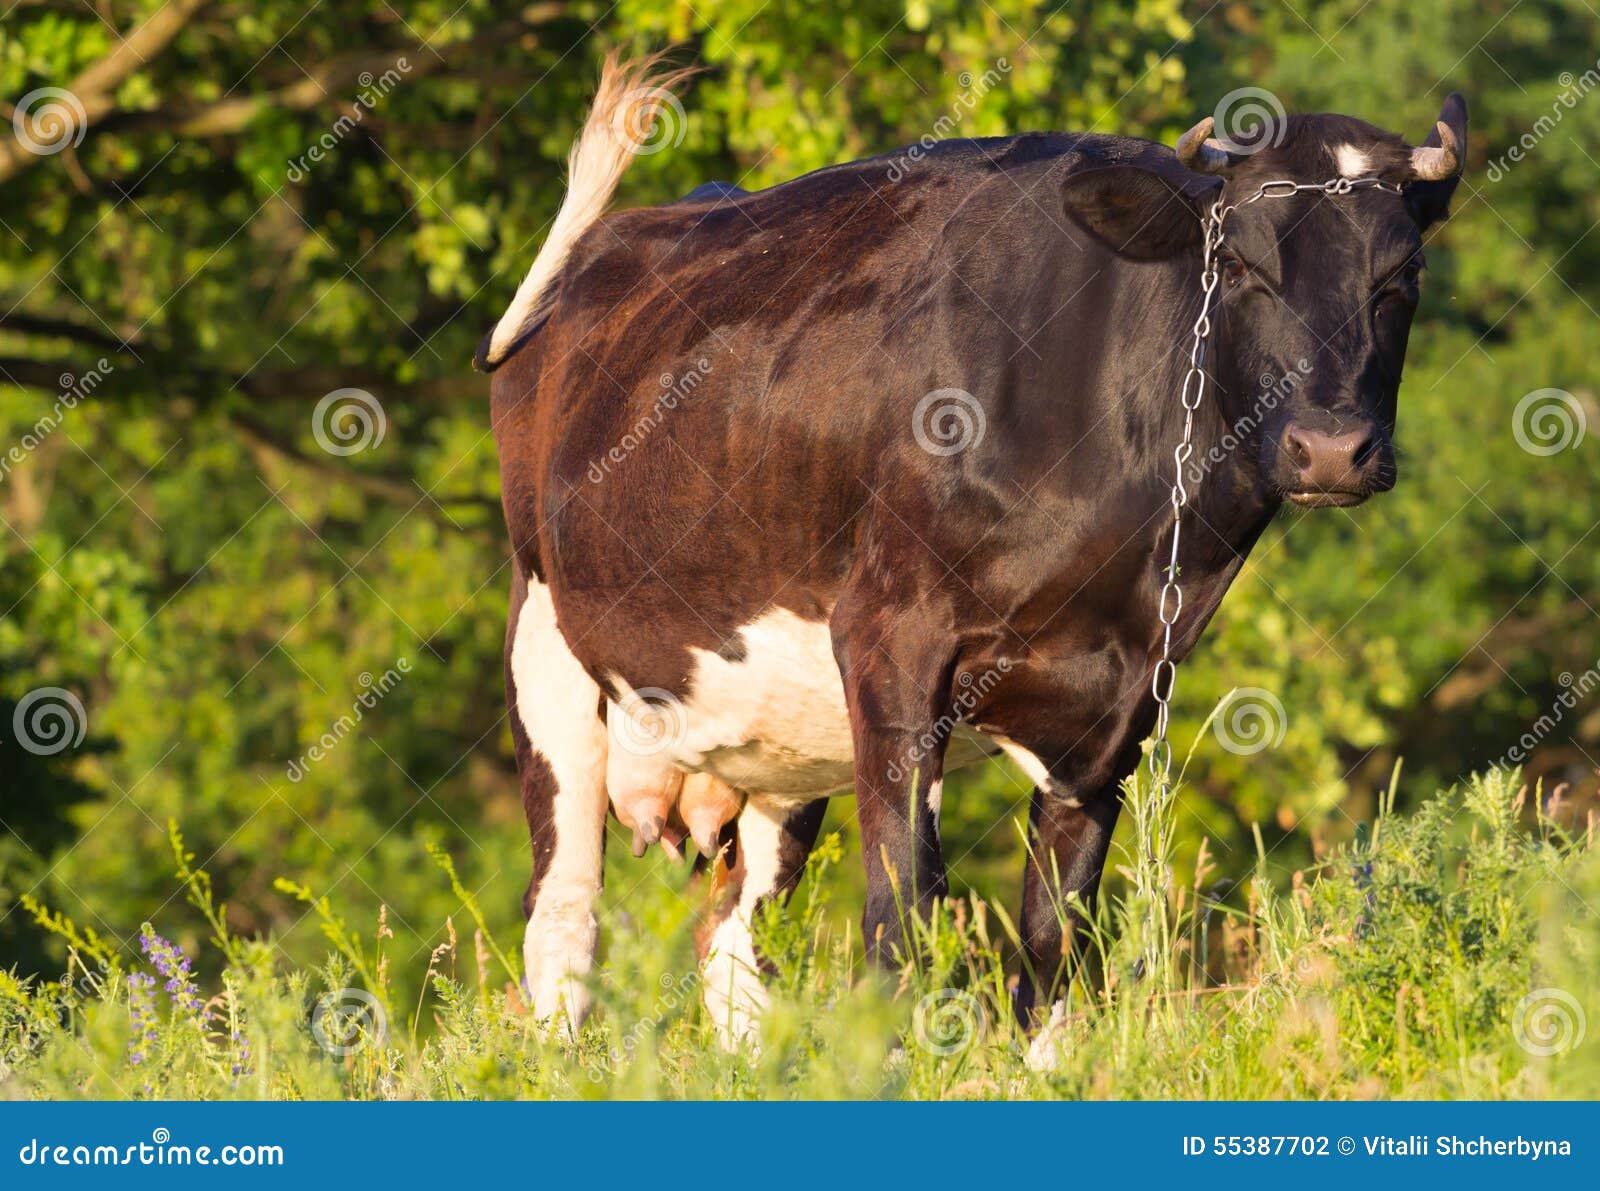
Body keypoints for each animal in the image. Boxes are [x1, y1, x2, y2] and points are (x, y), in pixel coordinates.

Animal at [477, 51, 1467, 1045]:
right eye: (1237, 263)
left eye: (1405, 275)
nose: (1331, 447)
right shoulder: (891, 640)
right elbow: (905, 914)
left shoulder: (1122, 697)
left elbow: (1055, 937)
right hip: (547, 645)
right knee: (563, 915)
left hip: (780, 737)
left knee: (736, 939)